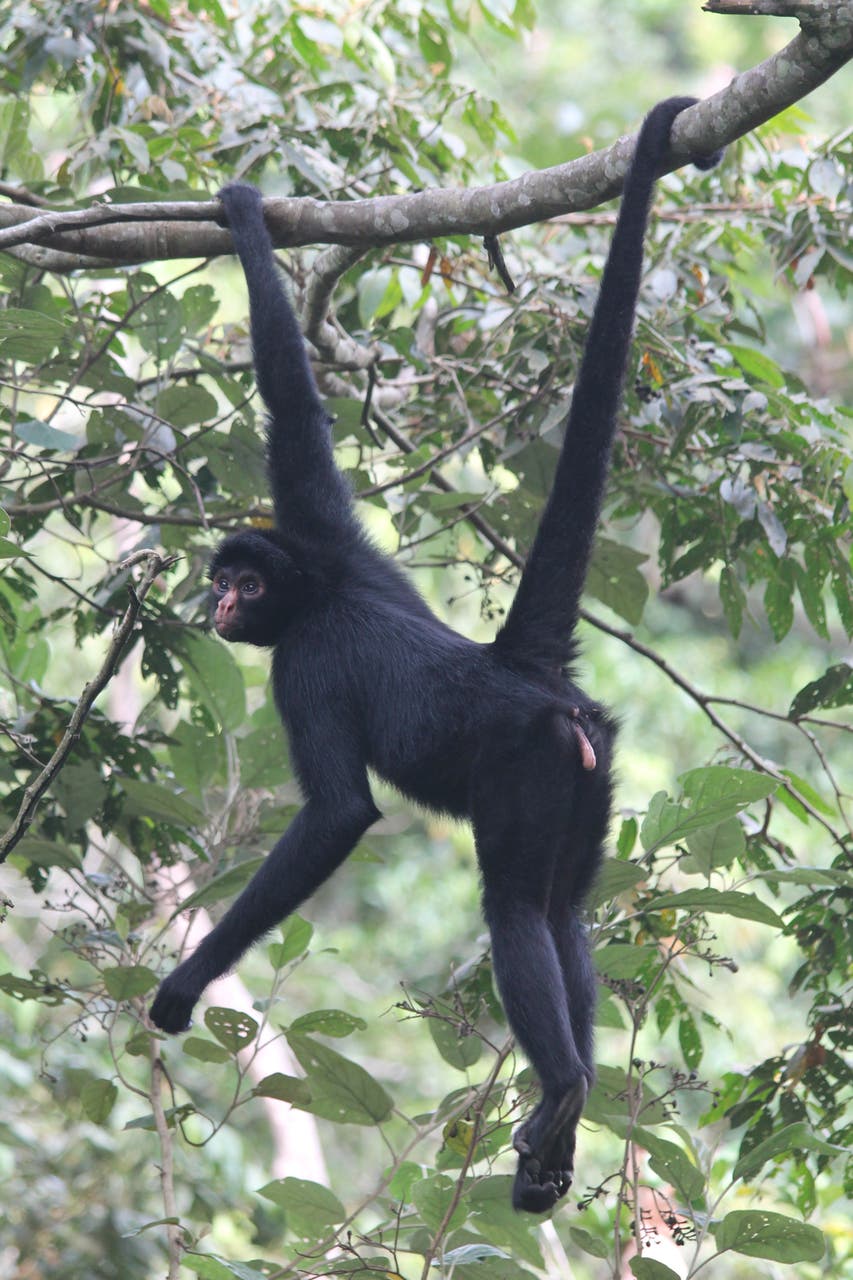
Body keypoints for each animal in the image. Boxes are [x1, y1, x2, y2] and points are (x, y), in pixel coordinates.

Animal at [150, 97, 721, 1213]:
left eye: (244, 587)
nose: (219, 601)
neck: (322, 589)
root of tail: (521, 674)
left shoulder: (303, 662)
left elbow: (339, 815)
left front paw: (183, 987)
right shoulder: (335, 537)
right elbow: (296, 412)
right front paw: (245, 218)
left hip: (532, 767)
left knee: (515, 903)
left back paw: (562, 1086)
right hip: (589, 769)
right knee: (564, 907)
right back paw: (561, 1131)